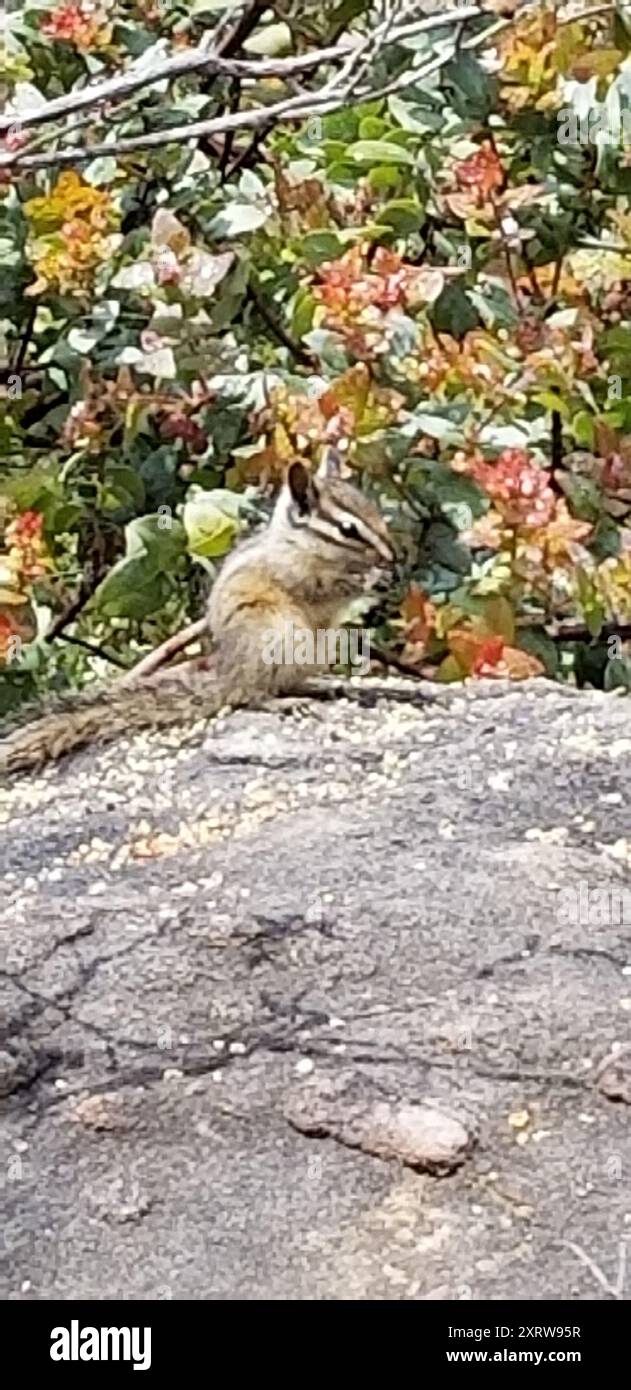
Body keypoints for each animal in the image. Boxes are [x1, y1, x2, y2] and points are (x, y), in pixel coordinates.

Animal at [0, 449, 395, 776]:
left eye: (372, 509)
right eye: (348, 529)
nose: (392, 555)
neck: (303, 544)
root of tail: (227, 673)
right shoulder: (293, 571)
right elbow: (322, 587)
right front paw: (368, 580)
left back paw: (318, 684)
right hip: (272, 634)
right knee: (249, 695)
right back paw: (283, 702)